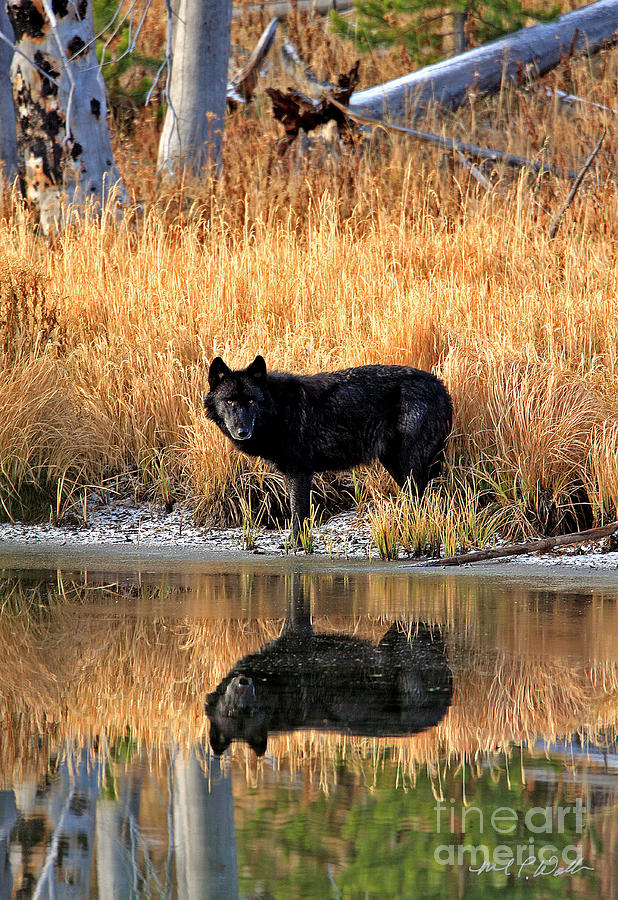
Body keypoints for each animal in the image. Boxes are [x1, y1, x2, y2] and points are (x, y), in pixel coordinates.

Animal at [204, 355, 452, 540]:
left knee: (420, 500)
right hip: (395, 465)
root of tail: (441, 386)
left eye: (250, 401)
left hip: (409, 467)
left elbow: (298, 518)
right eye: (229, 401)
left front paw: (297, 549)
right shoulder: (292, 474)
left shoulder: (300, 473)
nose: (242, 431)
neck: (279, 410)